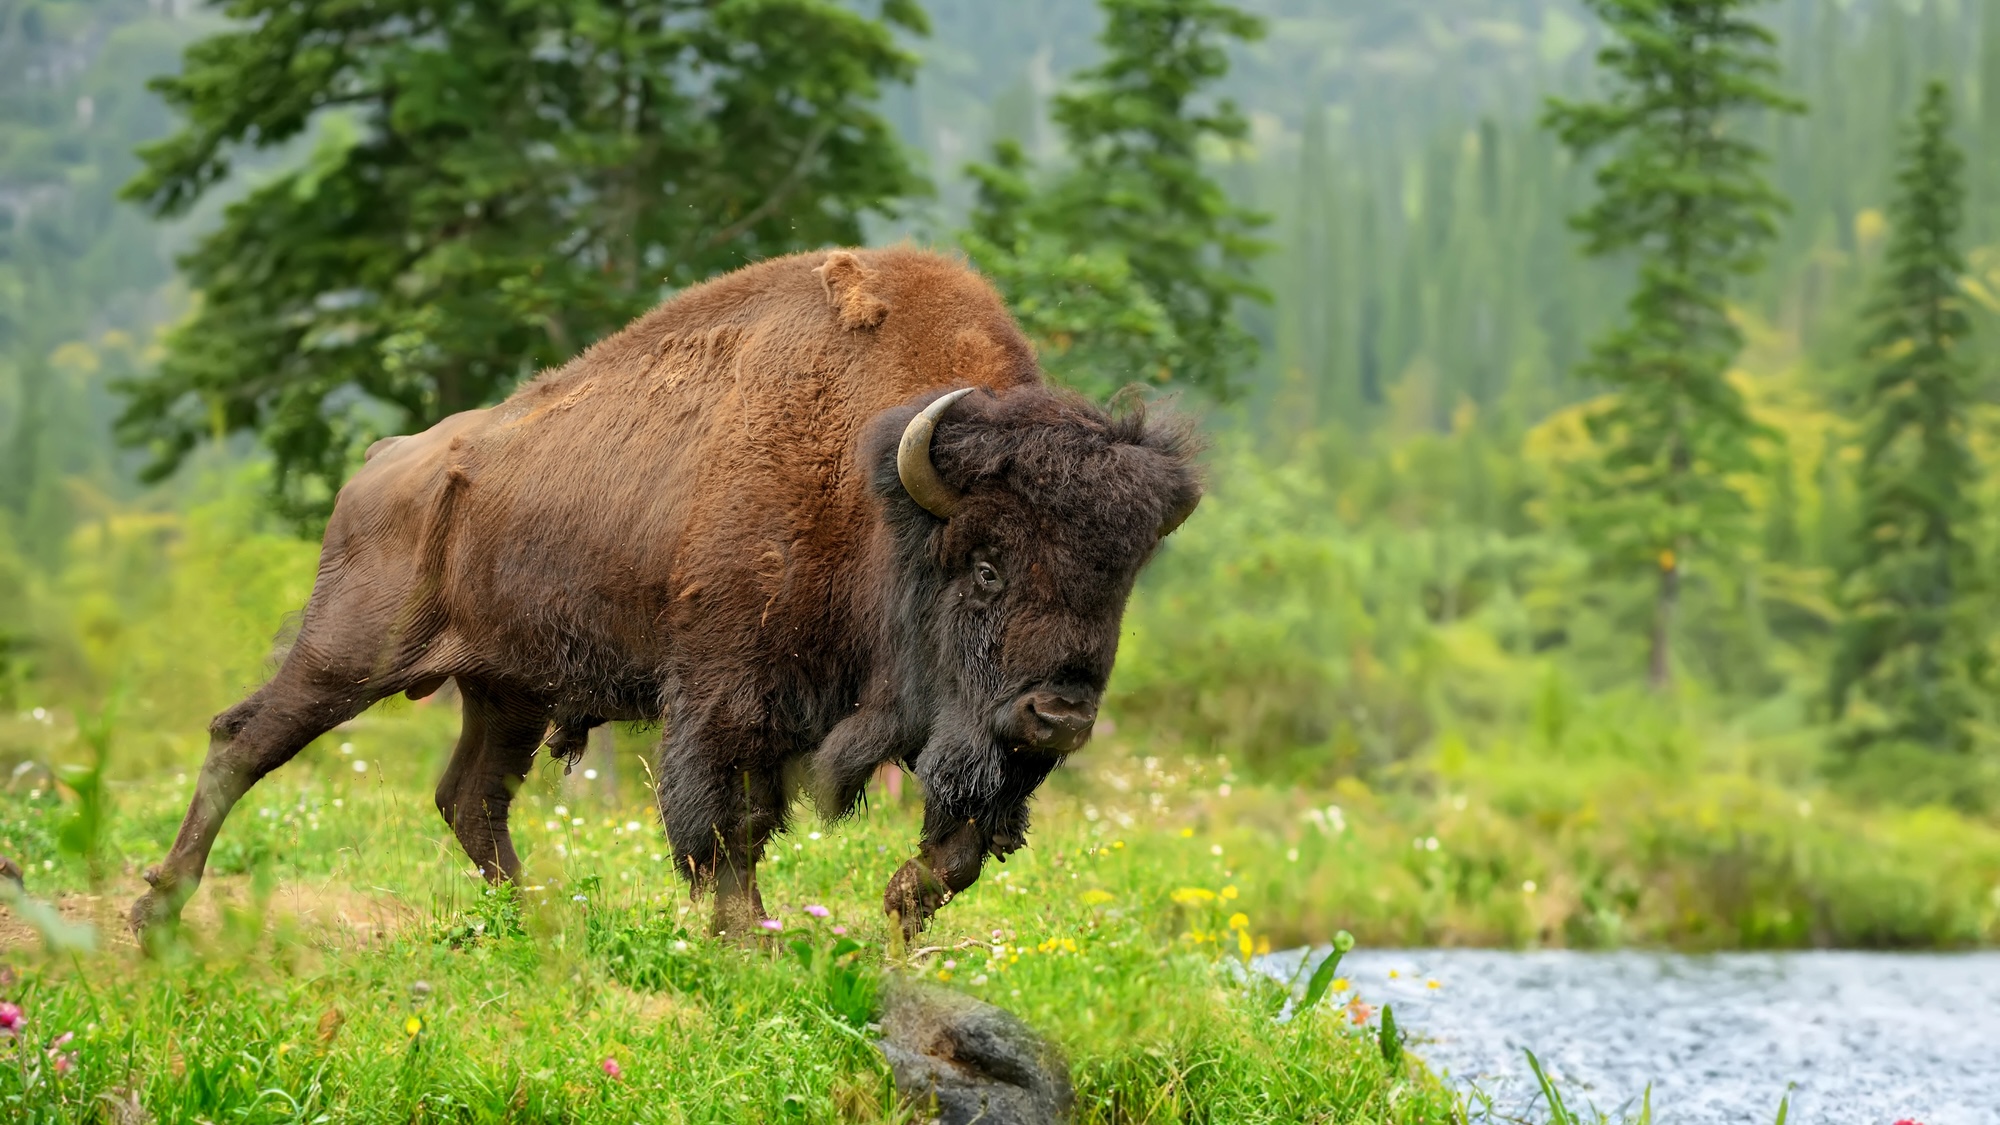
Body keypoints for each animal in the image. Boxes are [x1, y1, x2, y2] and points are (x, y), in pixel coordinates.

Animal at [130, 248, 1200, 939]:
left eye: (1118, 580)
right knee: (245, 739)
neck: (878, 491)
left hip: (506, 689)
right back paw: (156, 905)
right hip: (349, 651)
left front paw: (892, 913)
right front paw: (749, 936)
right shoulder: (727, 695)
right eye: (986, 564)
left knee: (469, 797)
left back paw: (543, 923)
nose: (1060, 714)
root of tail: (387, 459)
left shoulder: (961, 738)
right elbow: (725, 824)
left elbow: (955, 848)